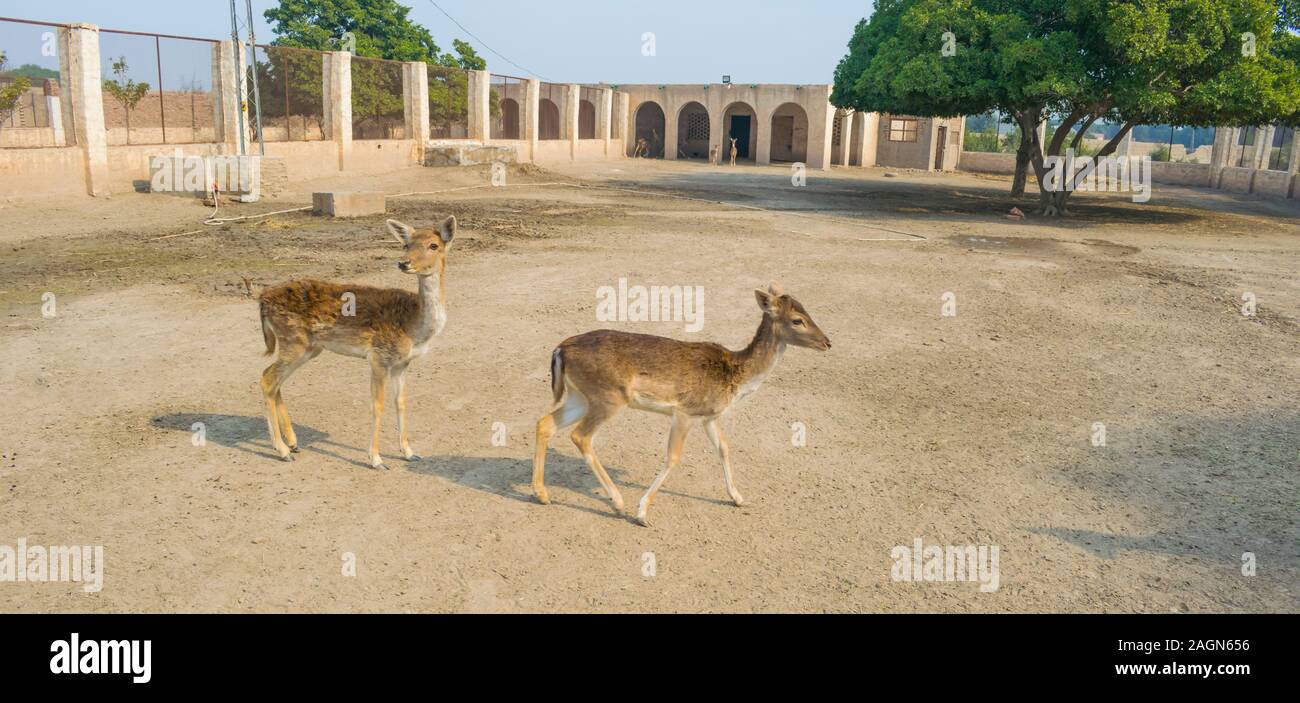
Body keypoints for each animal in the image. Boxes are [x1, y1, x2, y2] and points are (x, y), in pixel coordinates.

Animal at [257, 216, 455, 470]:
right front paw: (377, 460)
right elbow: (377, 405)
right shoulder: (379, 356)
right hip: (294, 341)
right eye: (406, 244)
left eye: (433, 245)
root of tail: (262, 299)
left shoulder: (402, 363)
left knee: (273, 379)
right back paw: (282, 450)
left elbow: (401, 401)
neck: (413, 328)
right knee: (268, 379)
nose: (403, 262)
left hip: (308, 348)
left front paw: (410, 453)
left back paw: (292, 443)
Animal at [531, 283, 831, 526]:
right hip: (608, 396)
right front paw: (642, 514)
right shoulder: (685, 411)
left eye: (807, 311)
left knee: (545, 422)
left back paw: (542, 494)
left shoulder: (709, 415)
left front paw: (737, 497)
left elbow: (724, 447)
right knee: (580, 436)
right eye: (797, 320)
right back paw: (617, 502)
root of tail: (560, 350)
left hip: (579, 396)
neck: (736, 378)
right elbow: (673, 457)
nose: (827, 342)